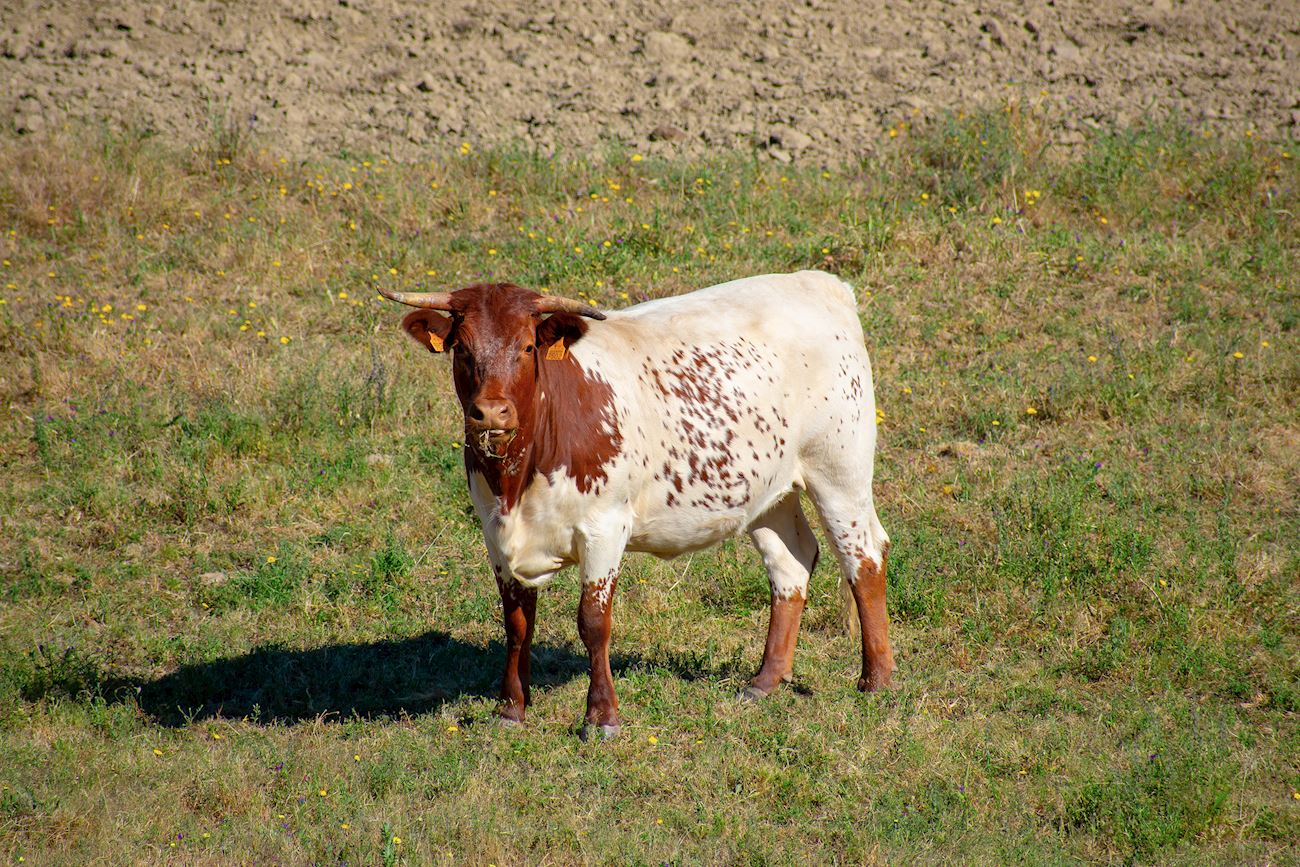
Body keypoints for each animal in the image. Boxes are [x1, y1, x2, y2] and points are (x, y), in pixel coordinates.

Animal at [382, 270, 893, 739]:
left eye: (527, 347)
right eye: (462, 349)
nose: (491, 412)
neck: (517, 479)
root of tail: (821, 282)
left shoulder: (605, 526)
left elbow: (593, 622)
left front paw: (602, 717)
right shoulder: (495, 533)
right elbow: (517, 623)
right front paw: (510, 710)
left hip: (839, 470)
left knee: (864, 556)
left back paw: (875, 679)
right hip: (769, 492)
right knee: (791, 565)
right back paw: (765, 680)